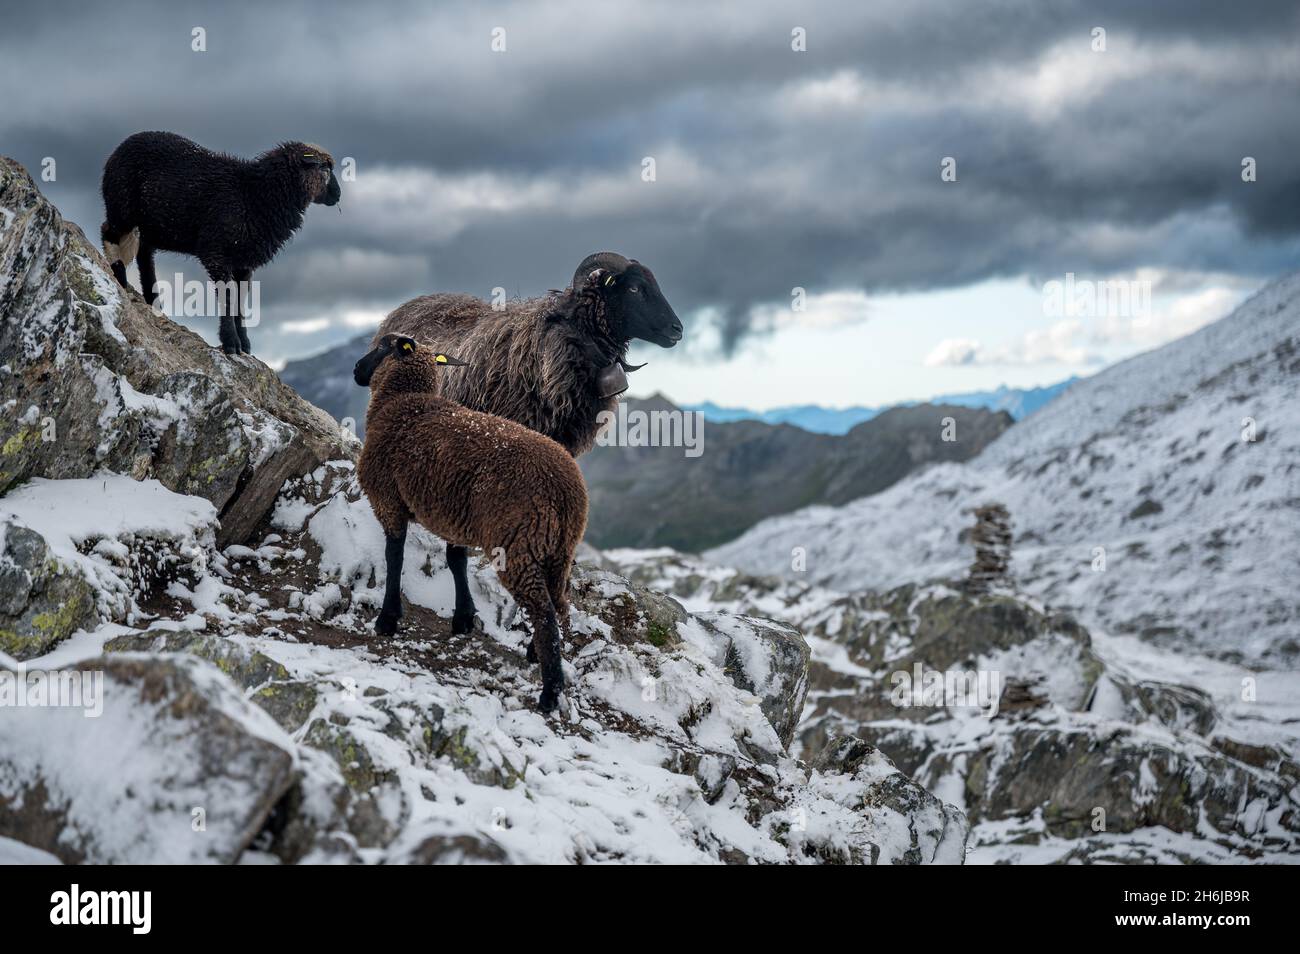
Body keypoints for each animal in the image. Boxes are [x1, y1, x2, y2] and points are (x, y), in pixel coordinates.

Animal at [100, 131, 341, 356]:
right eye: (325, 169)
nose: (338, 195)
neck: (254, 194)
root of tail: (119, 148)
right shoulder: (216, 253)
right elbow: (226, 298)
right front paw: (231, 343)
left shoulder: (243, 263)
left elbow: (240, 301)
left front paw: (244, 344)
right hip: (122, 207)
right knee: (108, 232)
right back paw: (119, 275)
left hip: (149, 224)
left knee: (145, 255)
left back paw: (154, 301)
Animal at [353, 333, 588, 713]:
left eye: (383, 346)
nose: (357, 370)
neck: (402, 402)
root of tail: (567, 490)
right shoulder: (454, 515)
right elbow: (456, 561)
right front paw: (463, 617)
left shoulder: (388, 500)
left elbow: (394, 557)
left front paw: (387, 619)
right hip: (559, 550)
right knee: (559, 603)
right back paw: (535, 653)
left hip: (518, 544)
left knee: (543, 610)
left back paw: (550, 692)